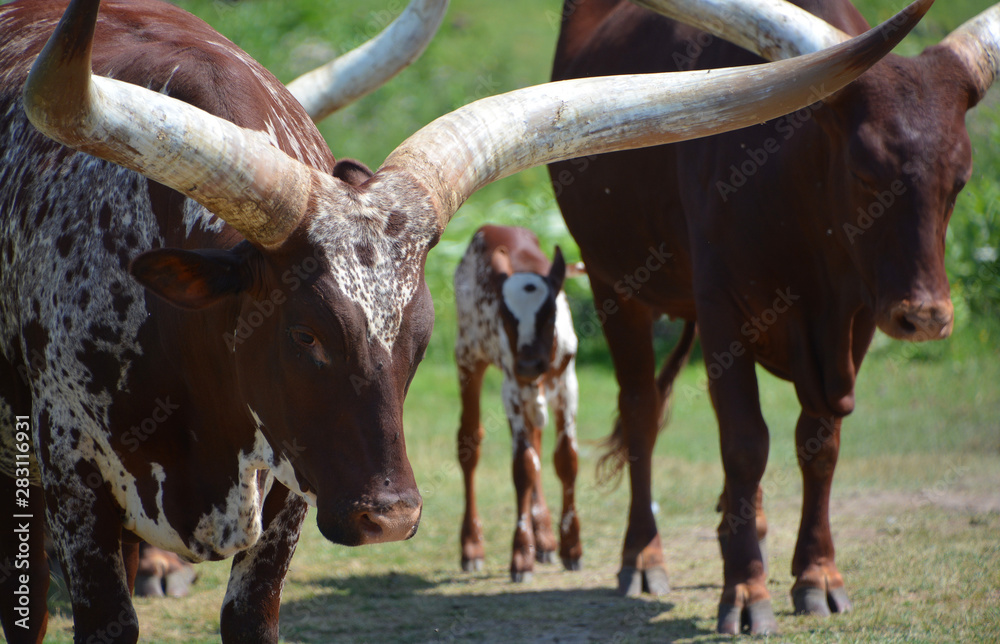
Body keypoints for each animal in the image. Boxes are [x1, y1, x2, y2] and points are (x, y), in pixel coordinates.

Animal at [454, 225, 582, 581]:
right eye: (506, 316)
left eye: (549, 313)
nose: (527, 364)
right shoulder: (511, 389)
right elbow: (523, 467)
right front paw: (521, 554)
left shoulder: (568, 386)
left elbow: (566, 459)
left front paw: (571, 546)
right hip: (468, 356)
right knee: (469, 444)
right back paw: (472, 546)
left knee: (536, 444)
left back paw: (545, 538)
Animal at [549, 0, 999, 634]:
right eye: (865, 173)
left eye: (960, 180)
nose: (927, 316)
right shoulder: (720, 305)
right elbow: (744, 441)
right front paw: (745, 590)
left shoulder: (855, 318)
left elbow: (820, 441)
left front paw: (818, 576)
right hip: (616, 281)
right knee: (640, 409)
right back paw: (643, 556)